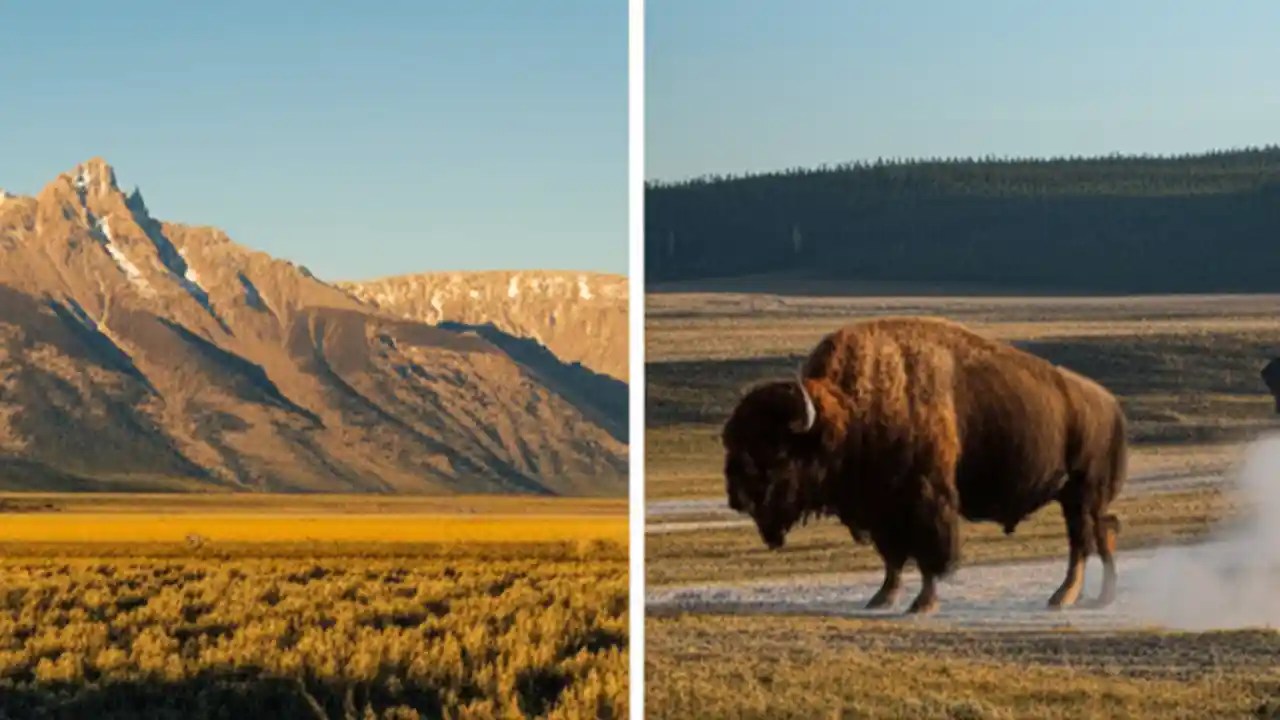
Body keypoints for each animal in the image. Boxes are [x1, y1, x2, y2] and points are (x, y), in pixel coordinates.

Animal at [722, 317, 1127, 614]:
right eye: (734, 441)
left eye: (775, 448)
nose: (737, 497)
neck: (850, 412)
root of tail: (1110, 405)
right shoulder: (881, 512)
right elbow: (893, 558)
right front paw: (881, 598)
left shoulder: (926, 502)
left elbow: (930, 555)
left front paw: (923, 604)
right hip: (1081, 500)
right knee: (1103, 533)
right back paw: (1101, 597)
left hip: (1079, 496)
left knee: (1081, 544)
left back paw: (1062, 598)